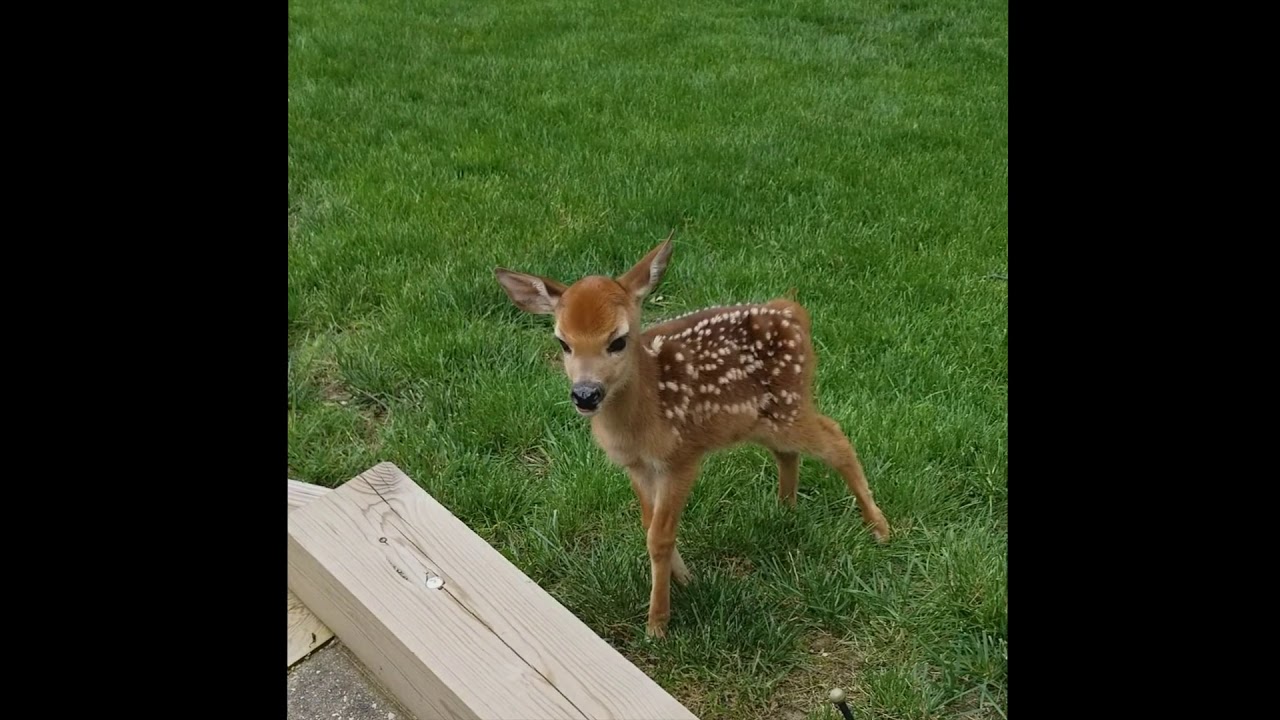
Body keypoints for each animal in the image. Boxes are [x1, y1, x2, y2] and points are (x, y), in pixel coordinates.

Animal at [495, 232, 889, 638]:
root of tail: (795, 312)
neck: (644, 416)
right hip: (761, 420)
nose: (586, 394)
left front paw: (658, 622)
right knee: (788, 452)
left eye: (617, 340)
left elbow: (660, 535)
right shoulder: (637, 466)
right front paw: (684, 580)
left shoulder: (681, 456)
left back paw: (880, 528)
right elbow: (648, 524)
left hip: (790, 405)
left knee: (837, 437)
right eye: (563, 342)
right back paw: (786, 509)